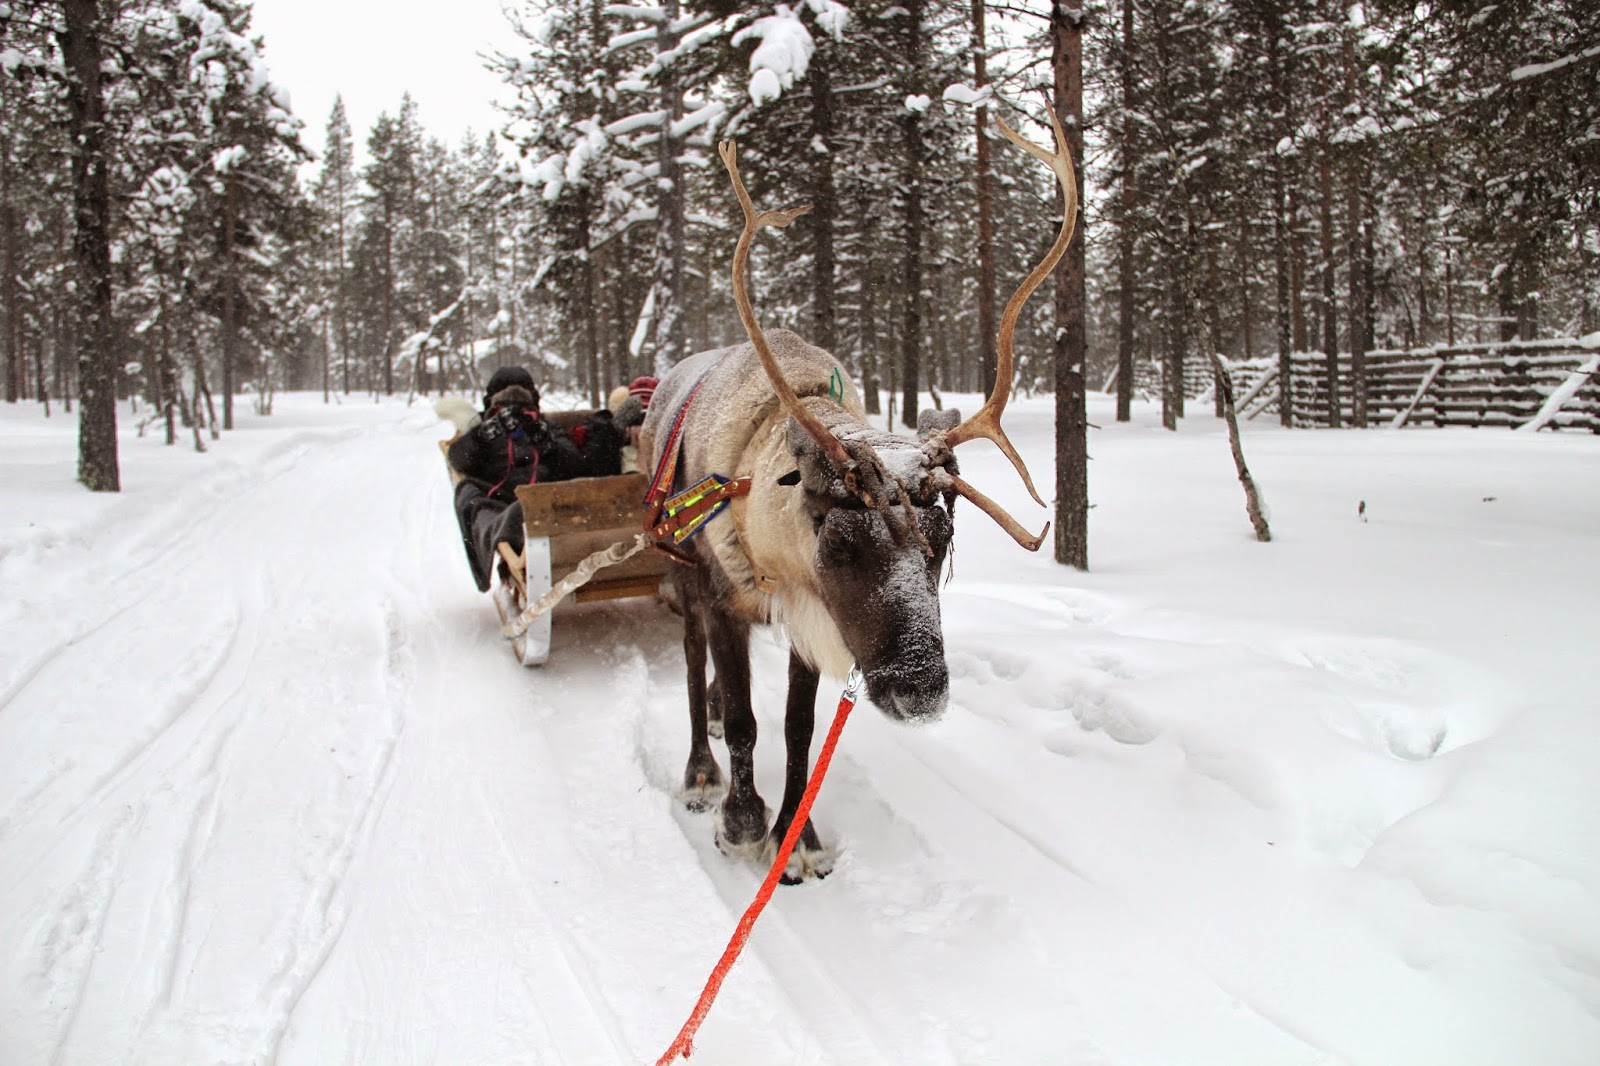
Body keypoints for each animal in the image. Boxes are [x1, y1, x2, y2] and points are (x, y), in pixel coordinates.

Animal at [637, 111, 1078, 882]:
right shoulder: (728, 596)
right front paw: (744, 824)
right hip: (680, 571)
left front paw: (800, 841)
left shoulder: (811, 618)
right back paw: (699, 771)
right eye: (840, 542)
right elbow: (750, 722)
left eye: (944, 542)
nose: (919, 692)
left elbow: (798, 728)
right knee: (693, 664)